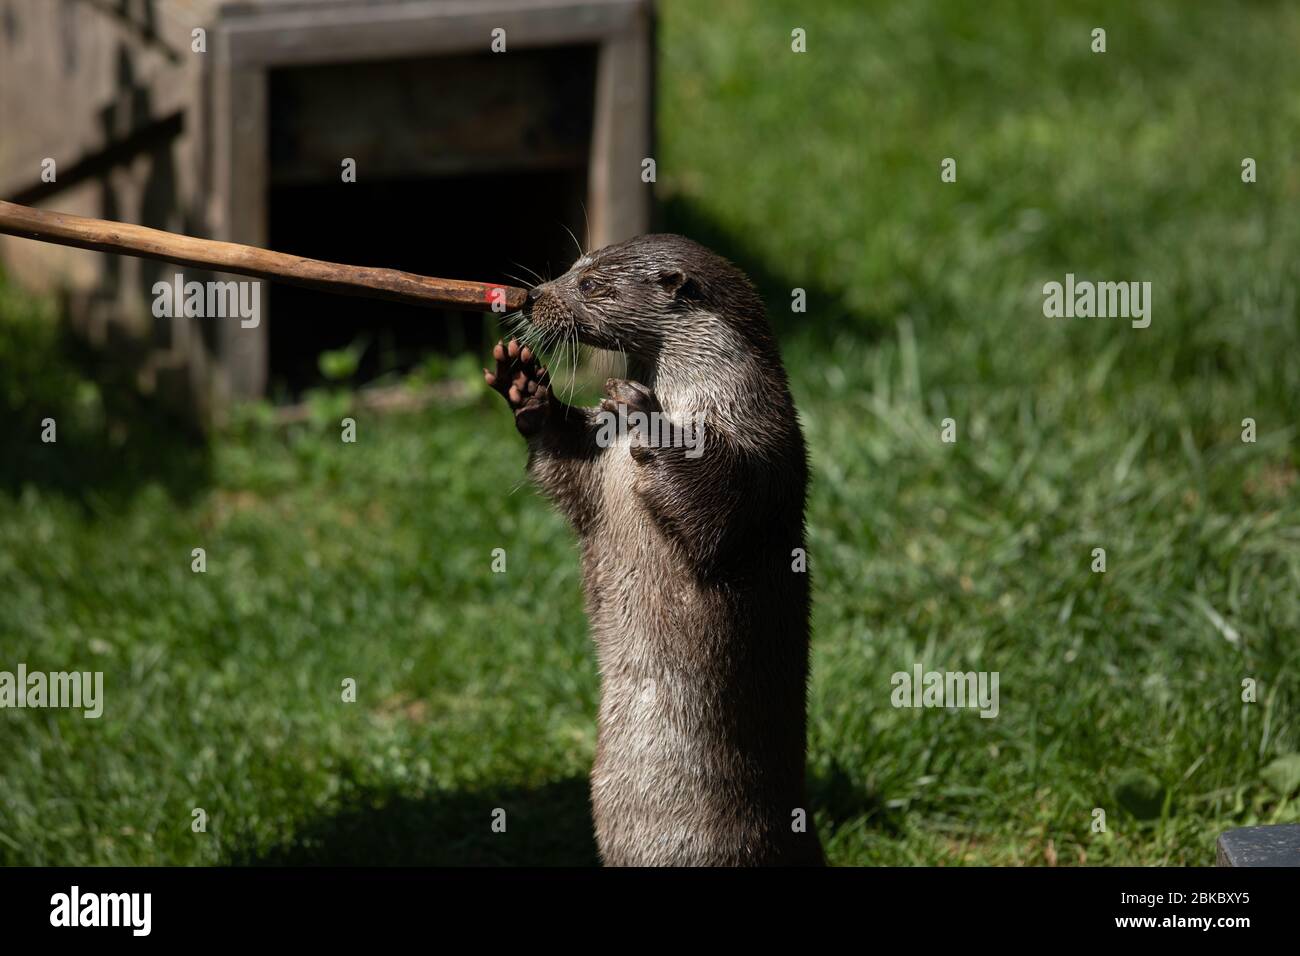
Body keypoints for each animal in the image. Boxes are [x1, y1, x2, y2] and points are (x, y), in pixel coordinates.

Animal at [484, 234, 822, 866]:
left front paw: (645, 412)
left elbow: (716, 513)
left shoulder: (763, 452)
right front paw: (528, 387)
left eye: (591, 285)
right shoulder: (595, 469)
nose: (534, 297)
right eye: (573, 266)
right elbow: (567, 464)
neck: (705, 396)